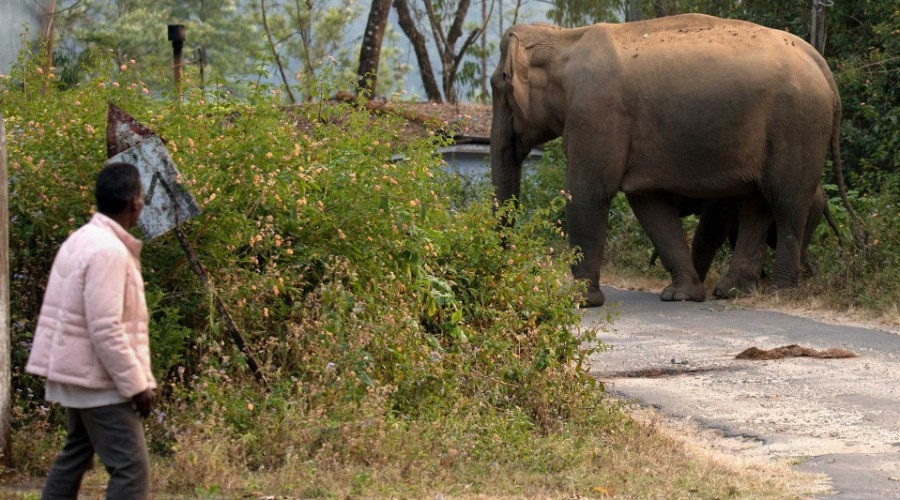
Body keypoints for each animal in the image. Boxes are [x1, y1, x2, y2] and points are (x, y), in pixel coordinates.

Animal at [490, 13, 856, 307]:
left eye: (499, 84)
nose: (502, 276)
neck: (565, 39)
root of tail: (819, 60)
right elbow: (648, 203)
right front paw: (682, 296)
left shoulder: (596, 112)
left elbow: (587, 191)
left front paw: (581, 302)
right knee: (757, 202)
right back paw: (733, 292)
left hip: (797, 125)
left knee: (786, 202)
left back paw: (780, 293)